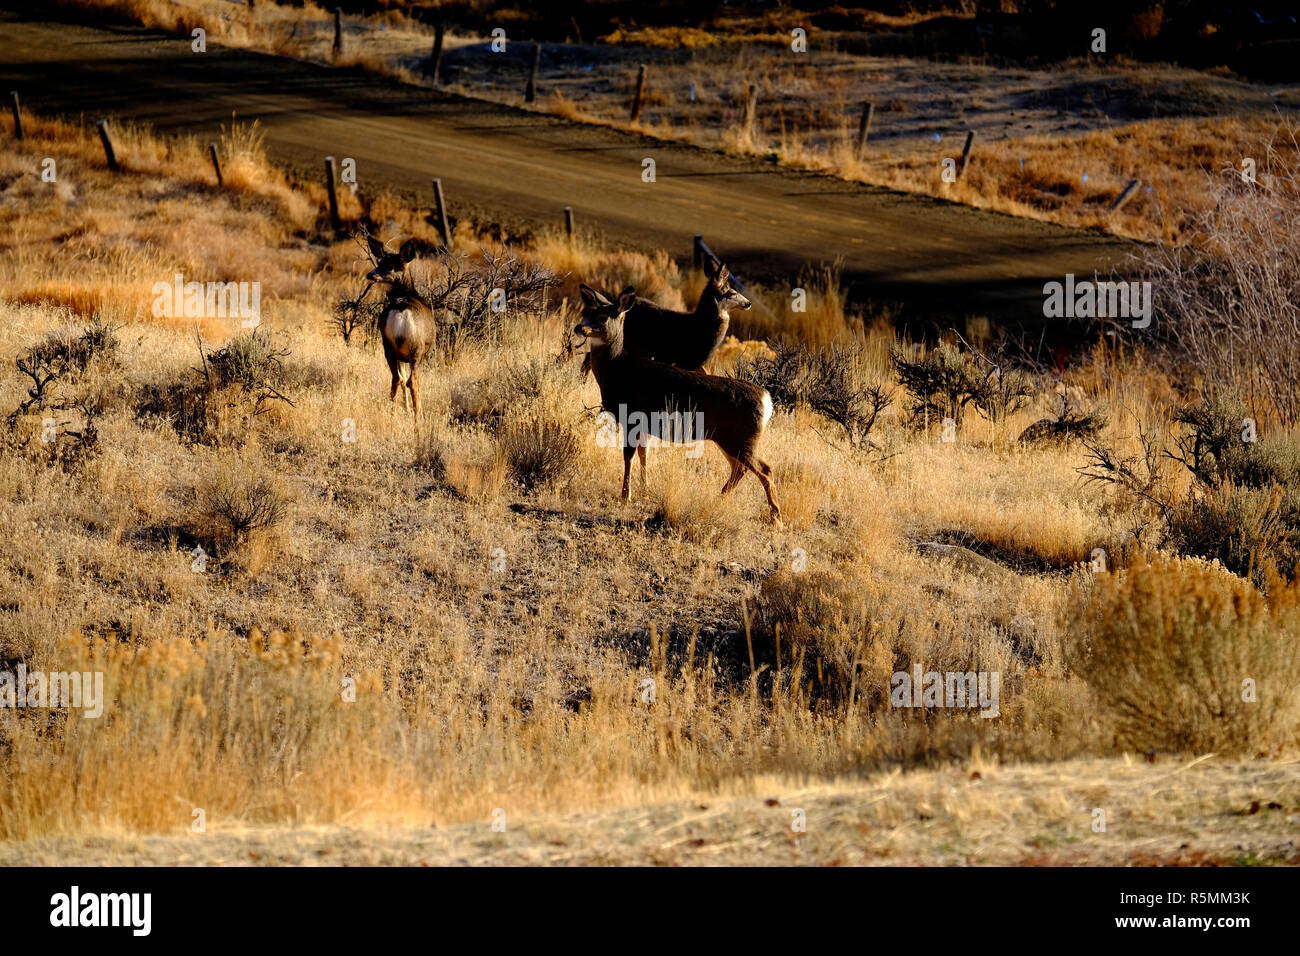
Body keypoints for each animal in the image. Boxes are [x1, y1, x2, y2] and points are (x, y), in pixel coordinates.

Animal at [365, 235, 437, 417]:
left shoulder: (399, 355)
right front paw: (412, 410)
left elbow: (402, 377)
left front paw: (405, 408)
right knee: (413, 381)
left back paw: (392, 411)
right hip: (416, 349)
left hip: (388, 346)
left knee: (397, 378)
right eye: (380, 262)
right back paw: (419, 416)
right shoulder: (425, 351)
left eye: (389, 265)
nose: (370, 274)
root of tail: (401, 313)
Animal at [575, 286, 780, 521]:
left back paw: (776, 517)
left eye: (602, 317)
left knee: (765, 469)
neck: (616, 368)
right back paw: (718, 498)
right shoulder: (644, 423)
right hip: (728, 439)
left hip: (743, 439)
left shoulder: (631, 415)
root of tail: (766, 400)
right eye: (588, 312)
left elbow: (629, 456)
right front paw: (645, 489)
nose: (579, 327)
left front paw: (625, 496)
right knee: (740, 469)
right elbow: (644, 453)